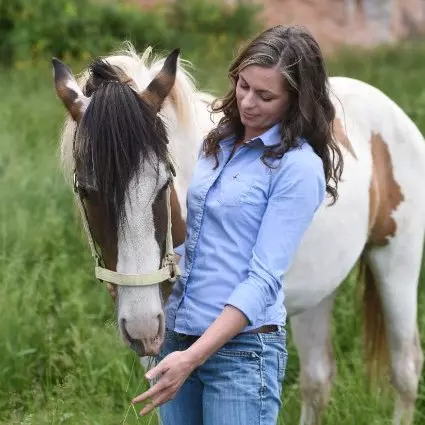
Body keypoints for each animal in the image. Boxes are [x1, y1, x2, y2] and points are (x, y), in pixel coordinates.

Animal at [53, 46, 424, 424]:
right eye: (86, 191)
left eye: (164, 183)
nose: (144, 326)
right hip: (320, 291)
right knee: (317, 380)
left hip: (397, 266)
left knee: (405, 369)